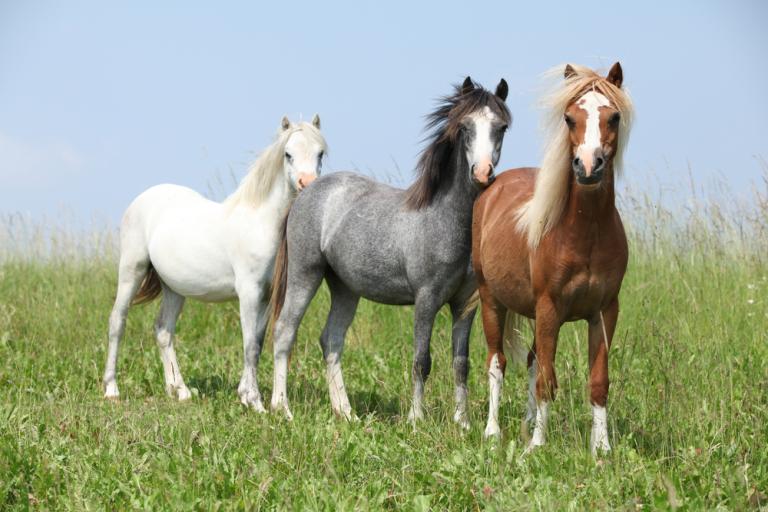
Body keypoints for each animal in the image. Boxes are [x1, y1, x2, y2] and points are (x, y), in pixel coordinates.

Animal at [102, 115, 327, 412]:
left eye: (320, 153)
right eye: (288, 154)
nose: (307, 182)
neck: (260, 222)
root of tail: (144, 198)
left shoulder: (266, 296)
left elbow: (256, 342)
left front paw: (245, 395)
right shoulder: (249, 293)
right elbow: (249, 345)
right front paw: (255, 402)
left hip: (174, 288)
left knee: (163, 330)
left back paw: (180, 390)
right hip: (131, 270)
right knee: (118, 321)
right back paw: (112, 389)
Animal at [268, 77, 510, 426]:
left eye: (501, 127)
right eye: (465, 127)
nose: (482, 173)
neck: (444, 219)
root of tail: (307, 192)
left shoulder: (465, 305)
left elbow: (460, 363)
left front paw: (462, 422)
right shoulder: (426, 300)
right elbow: (422, 360)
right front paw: (415, 419)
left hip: (345, 288)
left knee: (331, 340)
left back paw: (346, 413)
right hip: (305, 275)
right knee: (285, 331)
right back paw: (282, 408)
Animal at [470, 63, 633, 454]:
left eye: (614, 116)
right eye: (569, 118)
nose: (588, 167)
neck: (585, 234)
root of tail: (493, 187)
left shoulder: (605, 312)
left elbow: (598, 381)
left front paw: (602, 449)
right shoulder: (550, 307)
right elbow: (547, 378)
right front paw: (537, 446)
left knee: (530, 361)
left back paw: (526, 424)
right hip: (492, 300)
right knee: (497, 362)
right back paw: (493, 432)